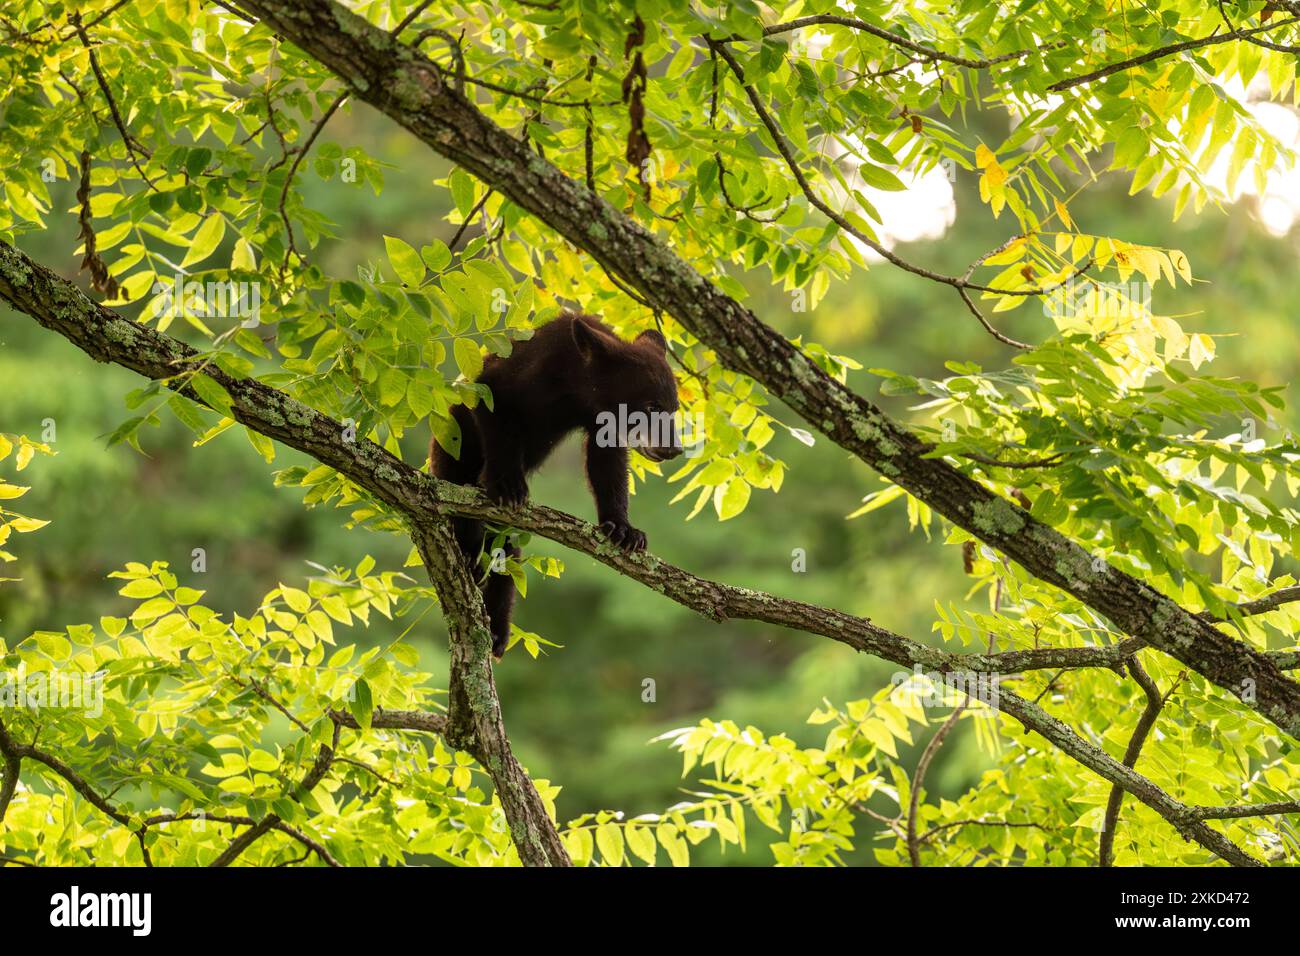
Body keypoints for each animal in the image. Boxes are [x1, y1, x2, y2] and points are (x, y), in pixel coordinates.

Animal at [430, 311, 683, 657]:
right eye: (651, 405)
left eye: (674, 407)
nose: (674, 449)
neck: (575, 387)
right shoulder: (512, 377)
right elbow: (496, 415)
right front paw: (507, 485)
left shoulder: (600, 420)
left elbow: (607, 465)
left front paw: (623, 529)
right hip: (450, 447)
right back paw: (468, 548)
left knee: (507, 550)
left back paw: (496, 631)